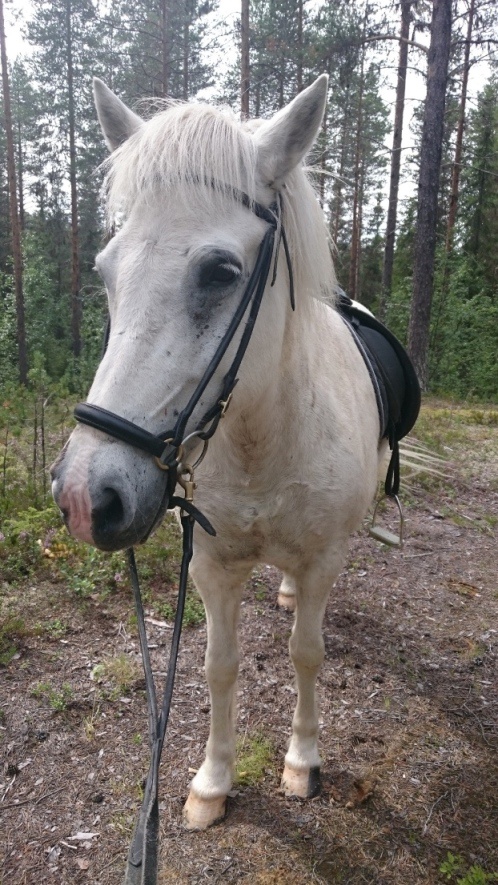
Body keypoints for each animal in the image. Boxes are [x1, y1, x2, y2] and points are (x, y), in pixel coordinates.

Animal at [51, 74, 416, 833]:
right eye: (104, 270)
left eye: (220, 272)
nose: (84, 497)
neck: (259, 443)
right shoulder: (213, 567)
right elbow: (219, 665)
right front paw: (212, 782)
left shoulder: (322, 558)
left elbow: (307, 653)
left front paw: (303, 761)